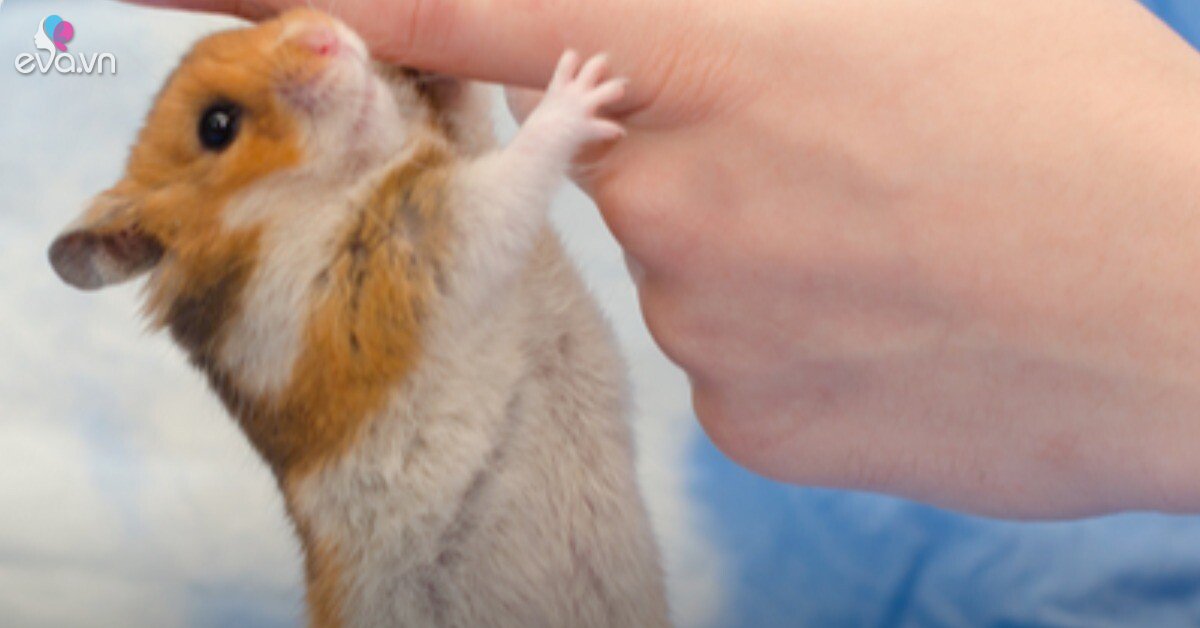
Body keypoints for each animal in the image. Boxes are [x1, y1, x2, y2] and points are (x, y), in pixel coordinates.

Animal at [48, 9, 669, 628]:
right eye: (216, 125)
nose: (324, 35)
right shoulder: (416, 256)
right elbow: (506, 179)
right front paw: (584, 87)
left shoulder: (454, 158)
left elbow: (468, 119)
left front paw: (436, 72)